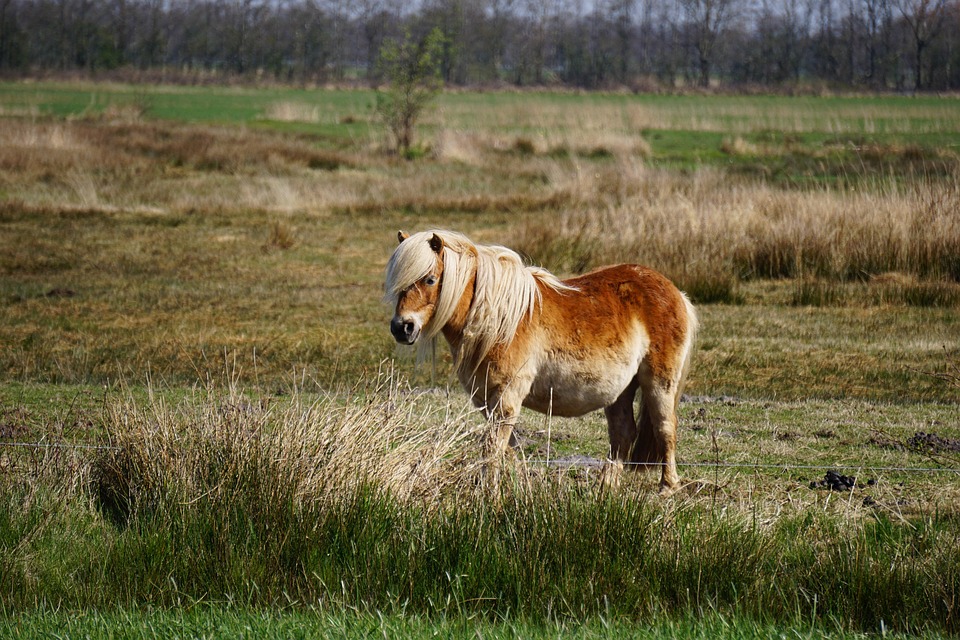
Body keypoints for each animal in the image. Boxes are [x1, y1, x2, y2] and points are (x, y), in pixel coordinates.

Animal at [384, 229, 698, 495]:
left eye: (430, 279)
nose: (402, 327)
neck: (497, 319)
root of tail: (674, 292)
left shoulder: (507, 397)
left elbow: (492, 447)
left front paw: (489, 494)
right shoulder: (487, 399)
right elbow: (506, 448)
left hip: (659, 382)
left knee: (665, 427)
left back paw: (667, 487)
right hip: (620, 390)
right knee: (622, 433)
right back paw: (605, 488)